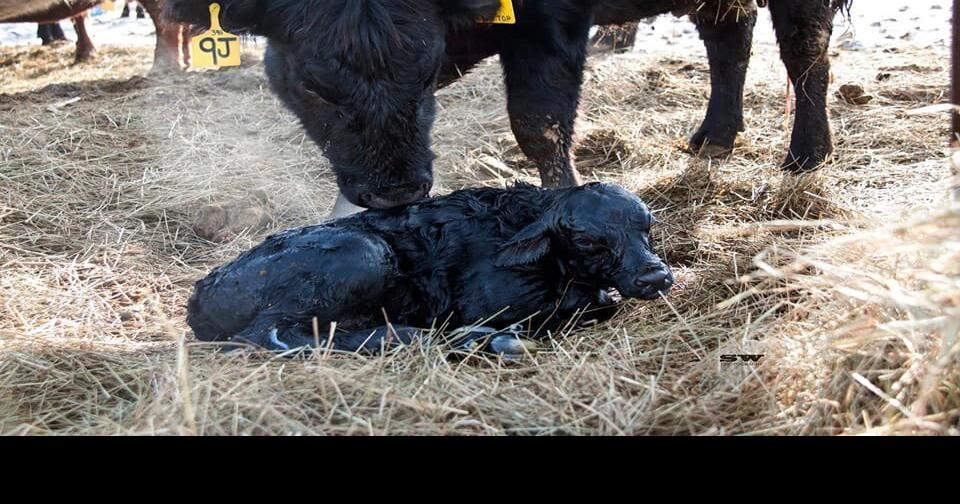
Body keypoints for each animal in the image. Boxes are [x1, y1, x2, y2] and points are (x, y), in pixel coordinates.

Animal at [166, 0, 849, 216]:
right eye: (311, 86)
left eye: (425, 70)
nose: (395, 194)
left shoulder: (548, 27)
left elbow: (539, 125)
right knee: (730, 38)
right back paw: (714, 136)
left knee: (805, 50)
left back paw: (806, 154)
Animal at [187, 182, 673, 356]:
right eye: (590, 240)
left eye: (646, 227)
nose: (655, 275)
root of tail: (201, 295)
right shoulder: (489, 301)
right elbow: (591, 300)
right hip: (363, 254)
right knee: (269, 335)